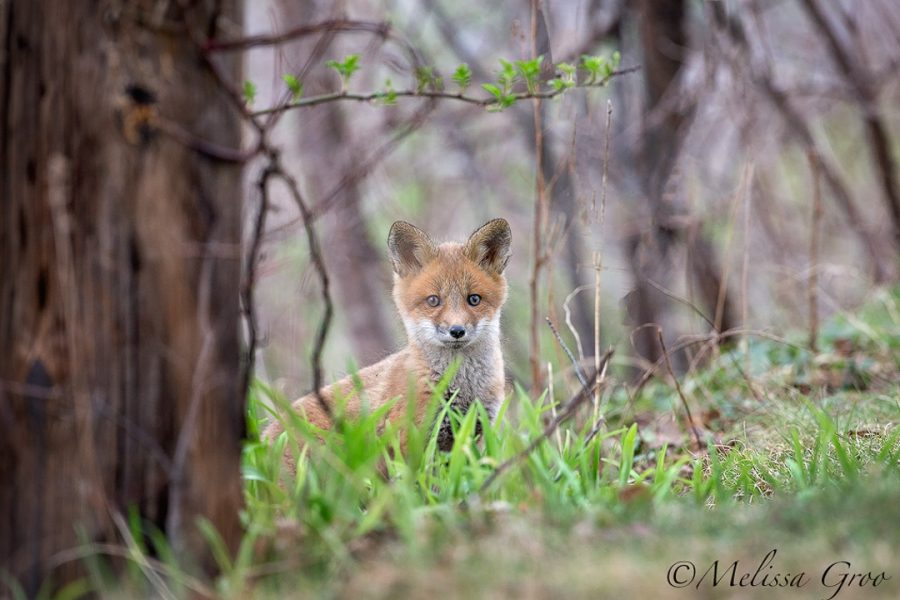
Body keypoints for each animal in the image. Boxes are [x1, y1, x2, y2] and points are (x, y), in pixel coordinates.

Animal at [263, 218, 512, 465]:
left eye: (474, 299)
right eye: (433, 301)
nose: (457, 331)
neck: (462, 387)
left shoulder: (474, 436)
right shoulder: (410, 440)